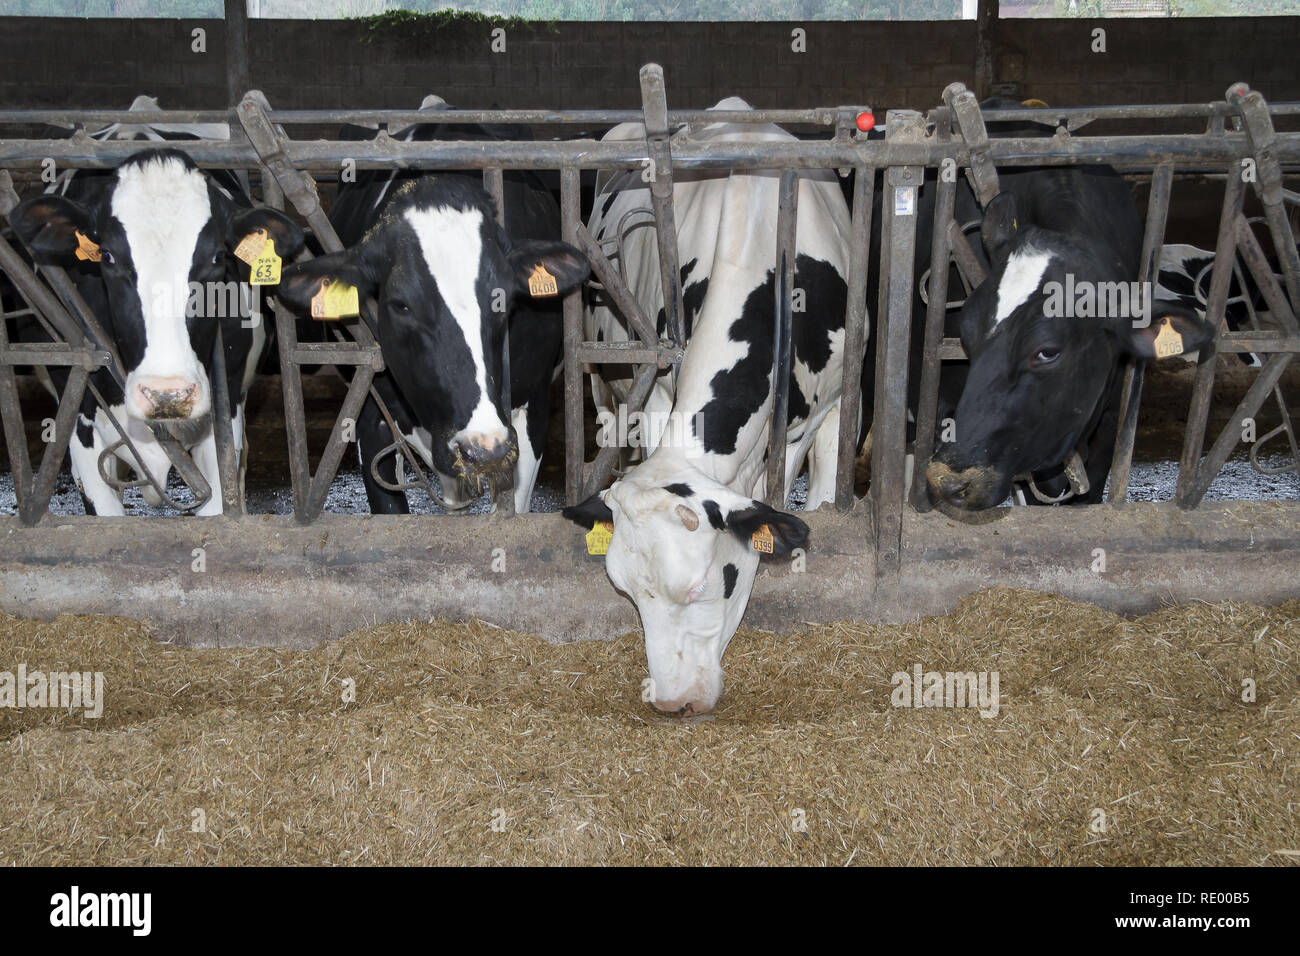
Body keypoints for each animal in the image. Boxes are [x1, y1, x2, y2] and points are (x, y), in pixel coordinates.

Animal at [561, 97, 853, 717]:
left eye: (697, 588)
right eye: (627, 593)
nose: (673, 703)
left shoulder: (812, 415)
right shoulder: (656, 391)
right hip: (603, 378)